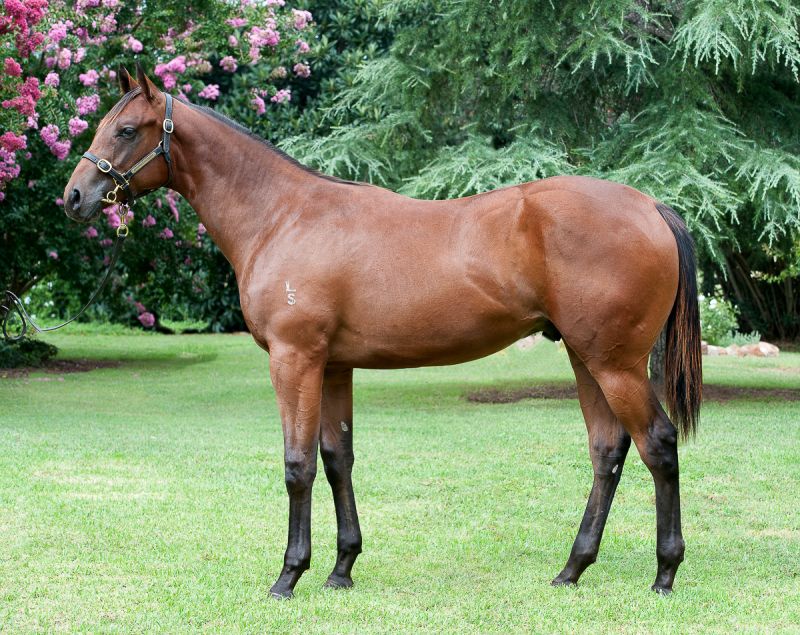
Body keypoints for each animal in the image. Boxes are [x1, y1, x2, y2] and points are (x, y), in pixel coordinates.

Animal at [63, 65, 702, 599]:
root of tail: (650, 206)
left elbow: (297, 465)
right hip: (585, 356)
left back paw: (665, 572)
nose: (73, 196)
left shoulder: (294, 359)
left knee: (658, 444)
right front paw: (341, 569)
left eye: (126, 130)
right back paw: (572, 568)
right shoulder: (333, 366)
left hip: (614, 363)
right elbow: (336, 459)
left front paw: (289, 576)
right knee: (608, 450)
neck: (283, 215)